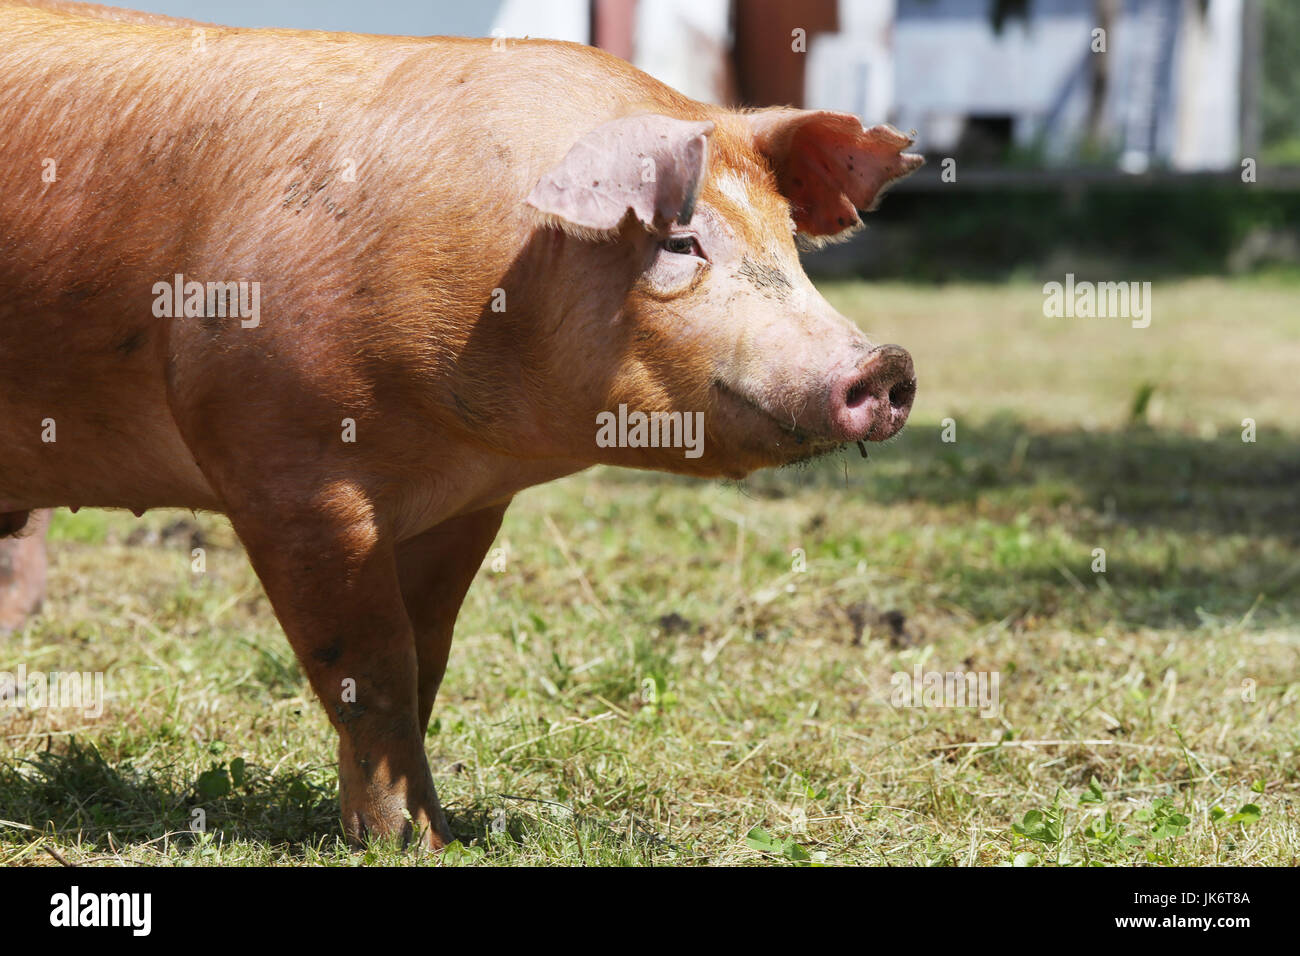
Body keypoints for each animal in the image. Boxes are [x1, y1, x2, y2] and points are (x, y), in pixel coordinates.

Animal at [0, 0, 920, 849]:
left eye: (791, 244)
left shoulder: (468, 502)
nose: (887, 364)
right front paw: (406, 841)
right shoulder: (284, 465)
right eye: (681, 241)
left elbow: (426, 658)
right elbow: (366, 665)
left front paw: (429, 834)